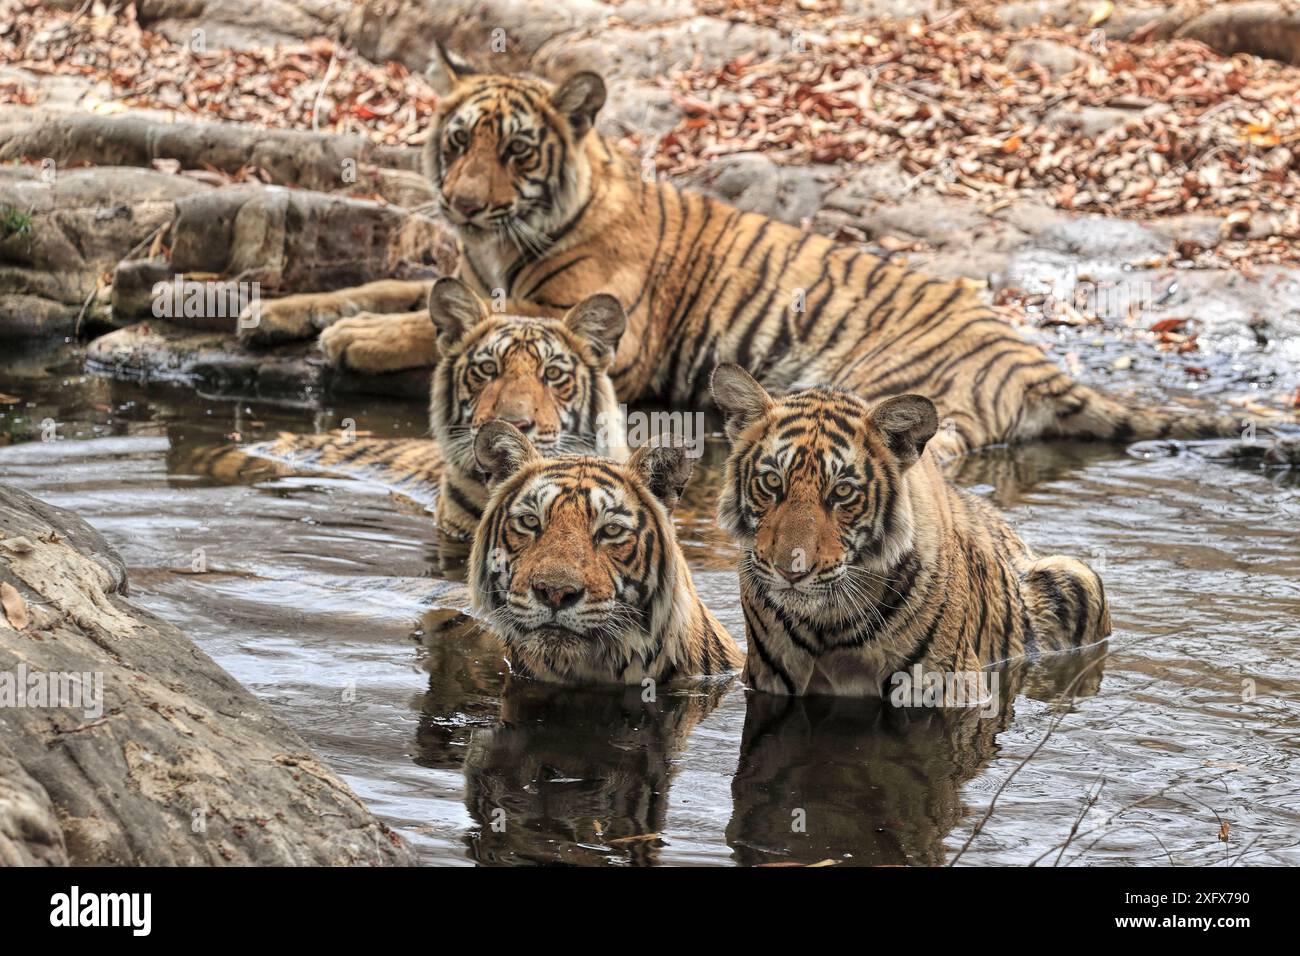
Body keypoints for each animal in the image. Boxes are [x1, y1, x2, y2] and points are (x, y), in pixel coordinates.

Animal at [238, 54, 1266, 465]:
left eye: (517, 151)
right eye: (458, 142)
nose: (460, 202)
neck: (501, 239)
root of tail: (1033, 354)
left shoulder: (598, 328)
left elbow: (422, 319)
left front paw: (349, 340)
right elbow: (388, 283)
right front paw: (262, 309)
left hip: (880, 384)